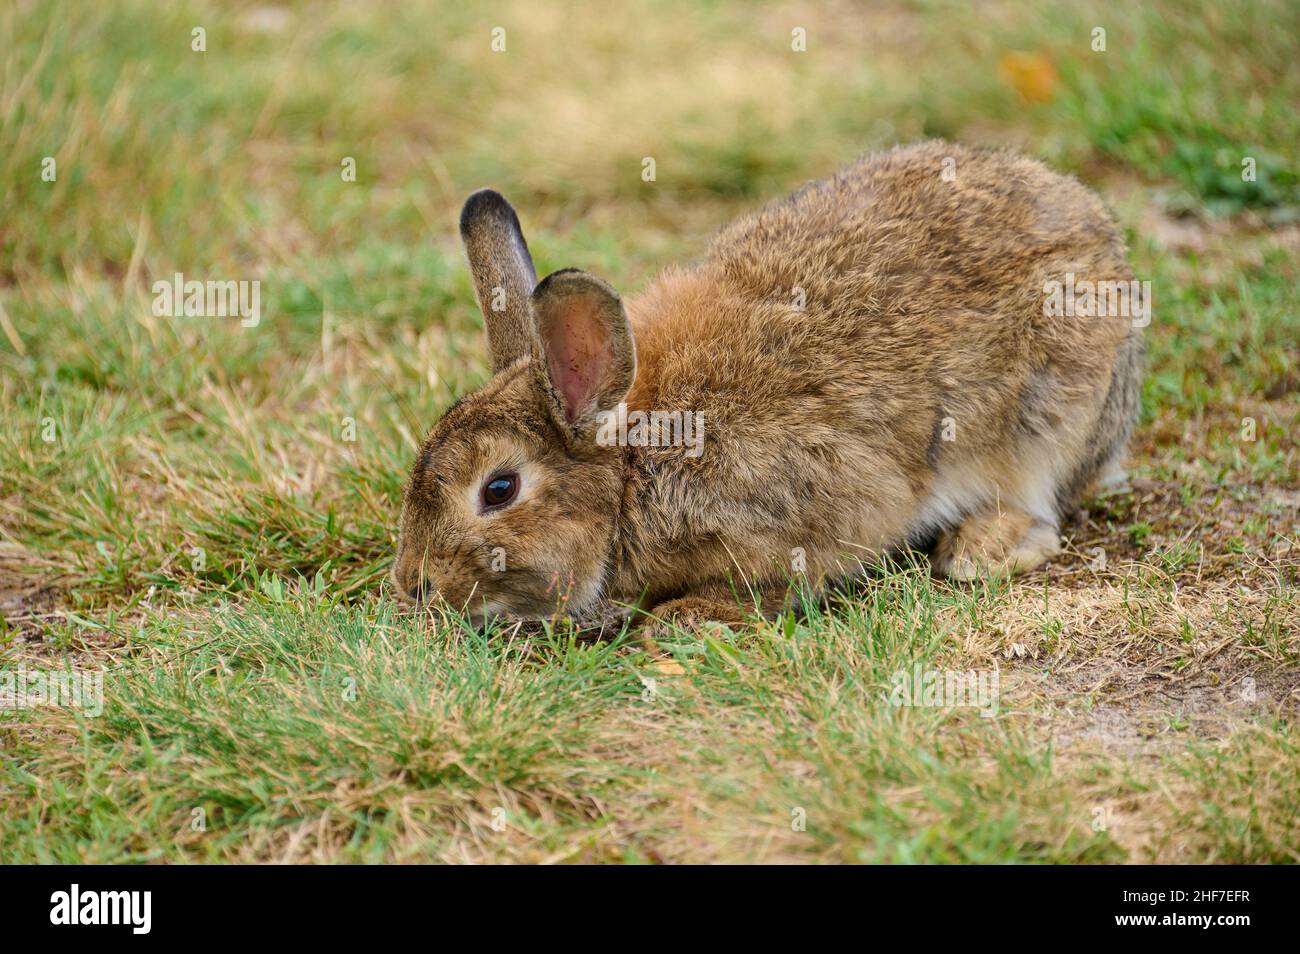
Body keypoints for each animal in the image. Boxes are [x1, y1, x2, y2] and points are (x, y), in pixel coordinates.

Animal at [392, 140, 1144, 634]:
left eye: (499, 489)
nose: (414, 586)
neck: (632, 464)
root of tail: (1099, 230)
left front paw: (688, 616)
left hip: (1050, 422)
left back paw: (974, 550)